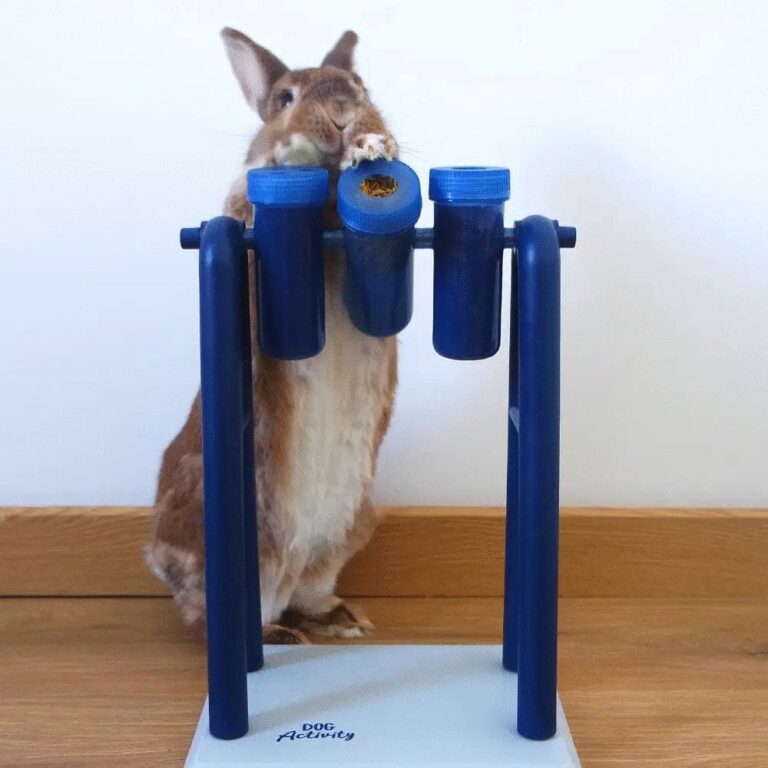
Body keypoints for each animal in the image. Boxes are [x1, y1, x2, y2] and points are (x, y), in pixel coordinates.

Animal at [145, 28, 399, 644]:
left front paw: (371, 149)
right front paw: (302, 152)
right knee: (222, 615)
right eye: (285, 99)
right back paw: (280, 638)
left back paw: (341, 621)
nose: (342, 116)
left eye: (360, 86)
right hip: (245, 551)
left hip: (341, 536)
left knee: (306, 593)